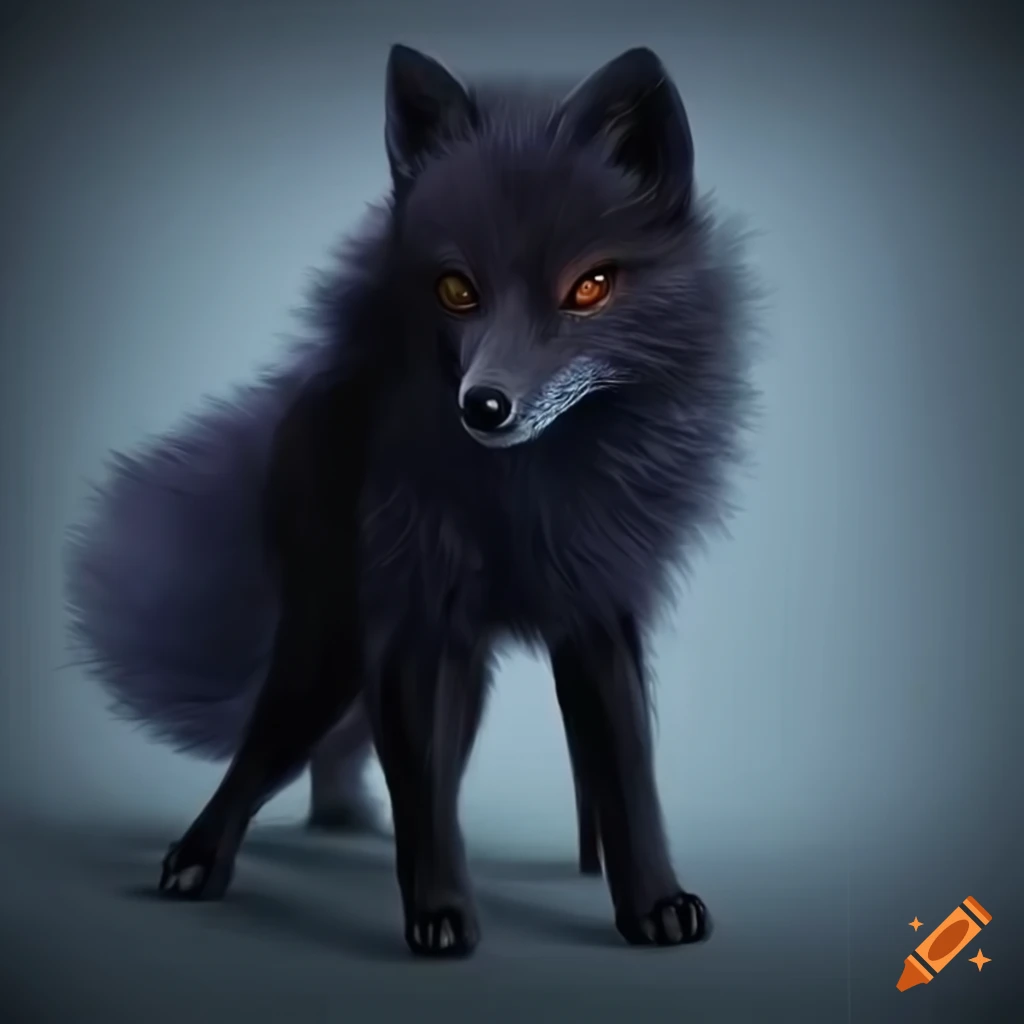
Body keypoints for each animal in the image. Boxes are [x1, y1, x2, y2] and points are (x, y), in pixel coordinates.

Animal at [64, 43, 757, 957]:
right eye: (457, 289)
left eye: (591, 287)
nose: (485, 406)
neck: (525, 507)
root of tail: (307, 386)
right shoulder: (414, 629)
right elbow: (422, 791)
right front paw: (440, 912)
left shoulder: (597, 621)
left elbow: (626, 776)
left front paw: (652, 903)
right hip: (329, 649)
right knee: (270, 751)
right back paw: (205, 858)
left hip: (447, 670)